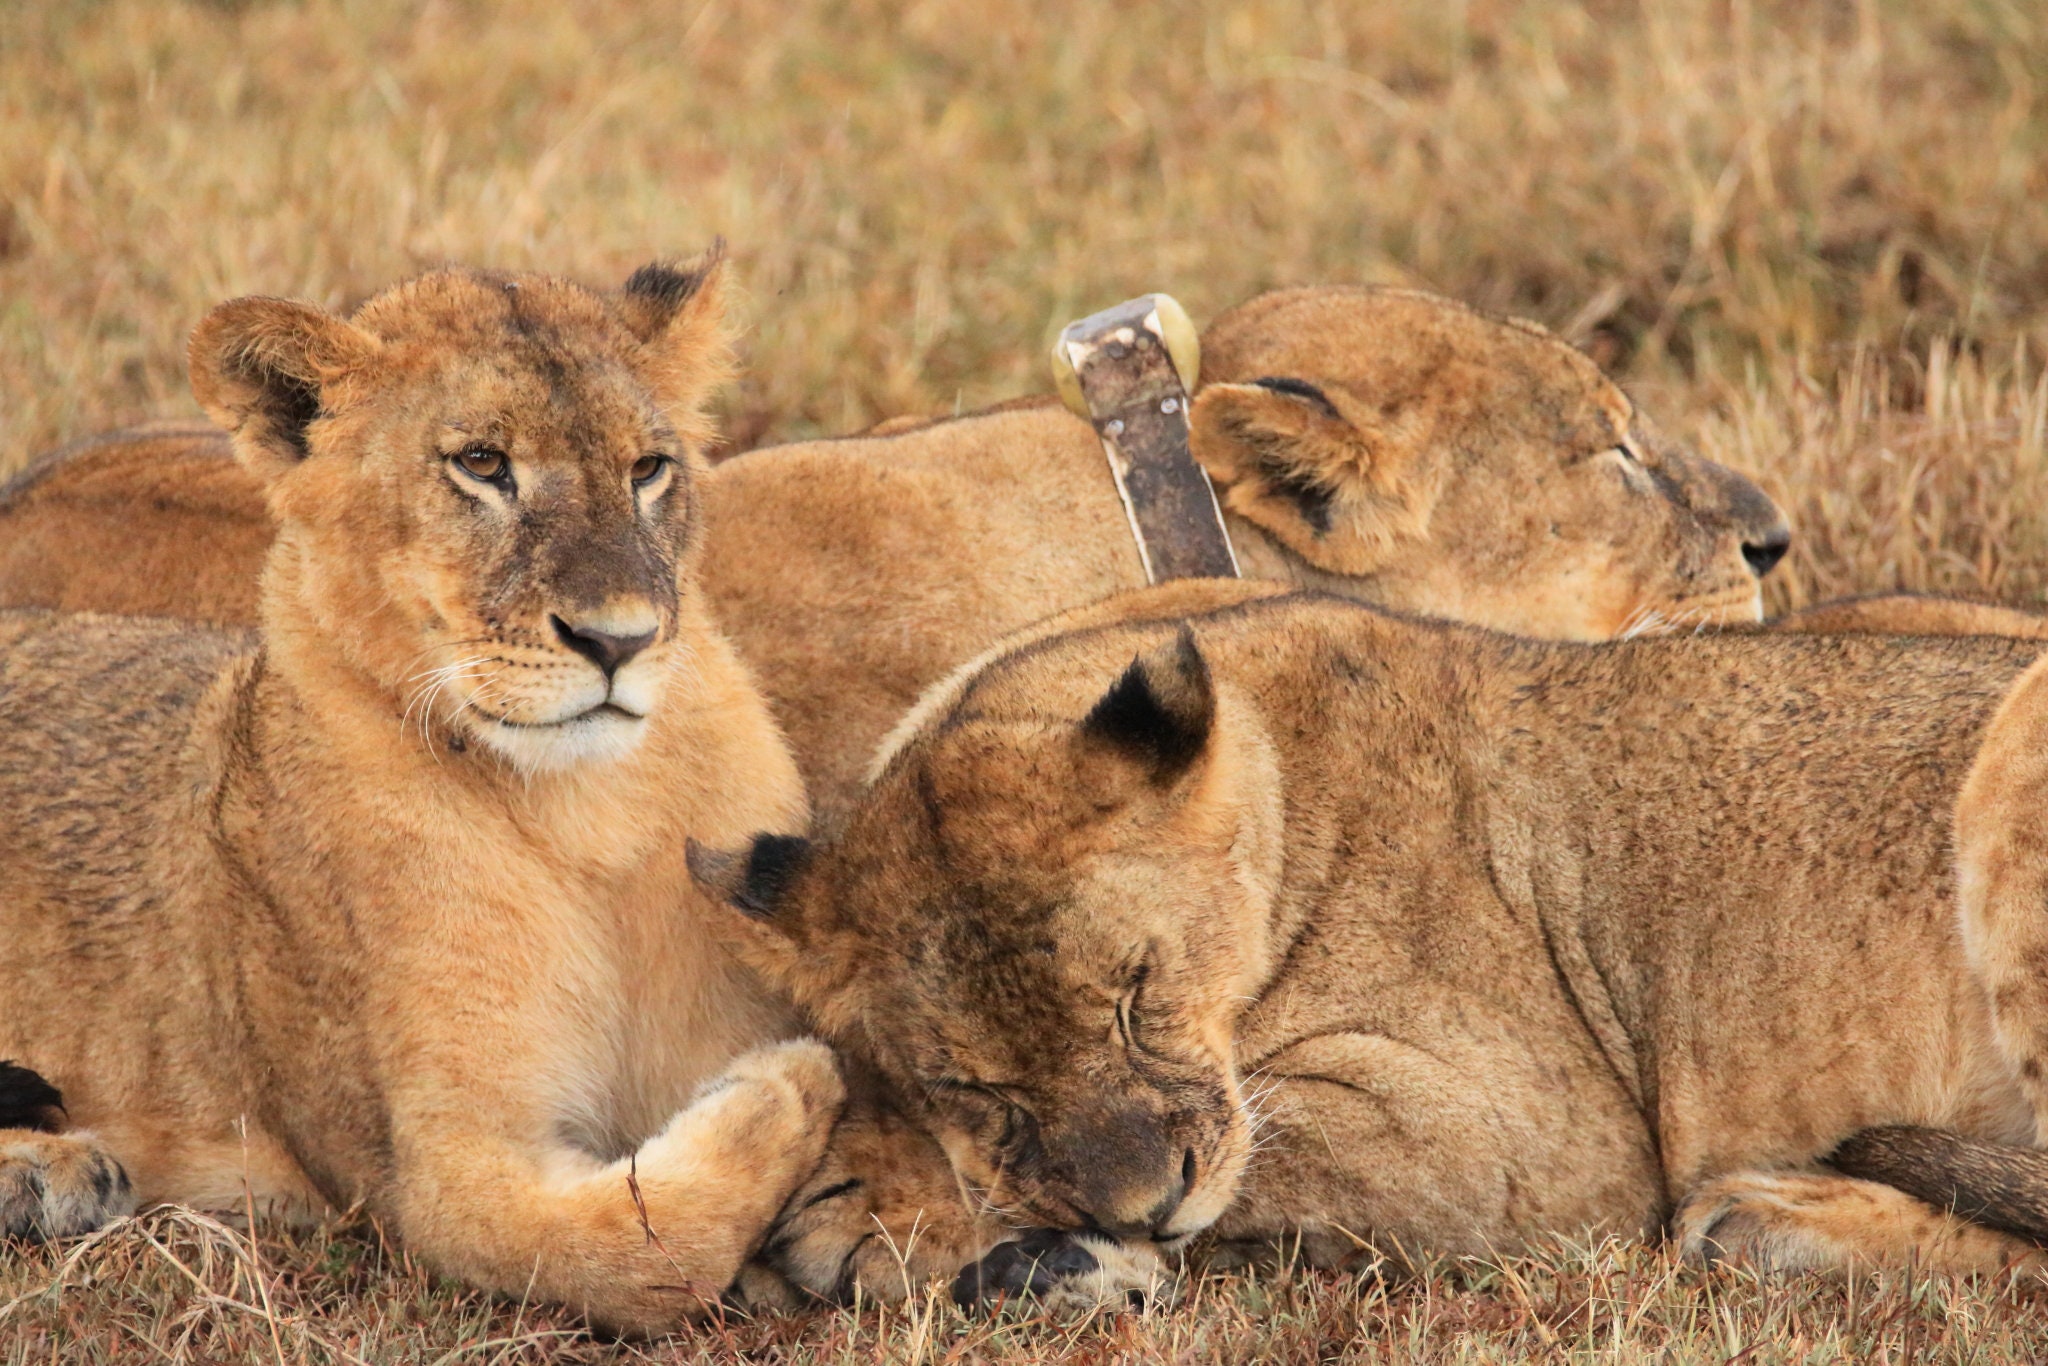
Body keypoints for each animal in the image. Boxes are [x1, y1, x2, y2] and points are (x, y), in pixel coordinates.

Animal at [0, 252, 847, 1335]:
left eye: (648, 468)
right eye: (482, 464)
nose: (617, 639)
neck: (592, 816)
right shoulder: (430, 1176)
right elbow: (642, 1249)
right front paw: (787, 1086)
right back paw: (50, 1172)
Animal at [696, 579, 2048, 1303]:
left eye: (1135, 992)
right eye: (973, 1084)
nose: (1146, 1207)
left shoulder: (1526, 1143)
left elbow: (1265, 1157)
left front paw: (873, 1208)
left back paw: (1773, 1219)